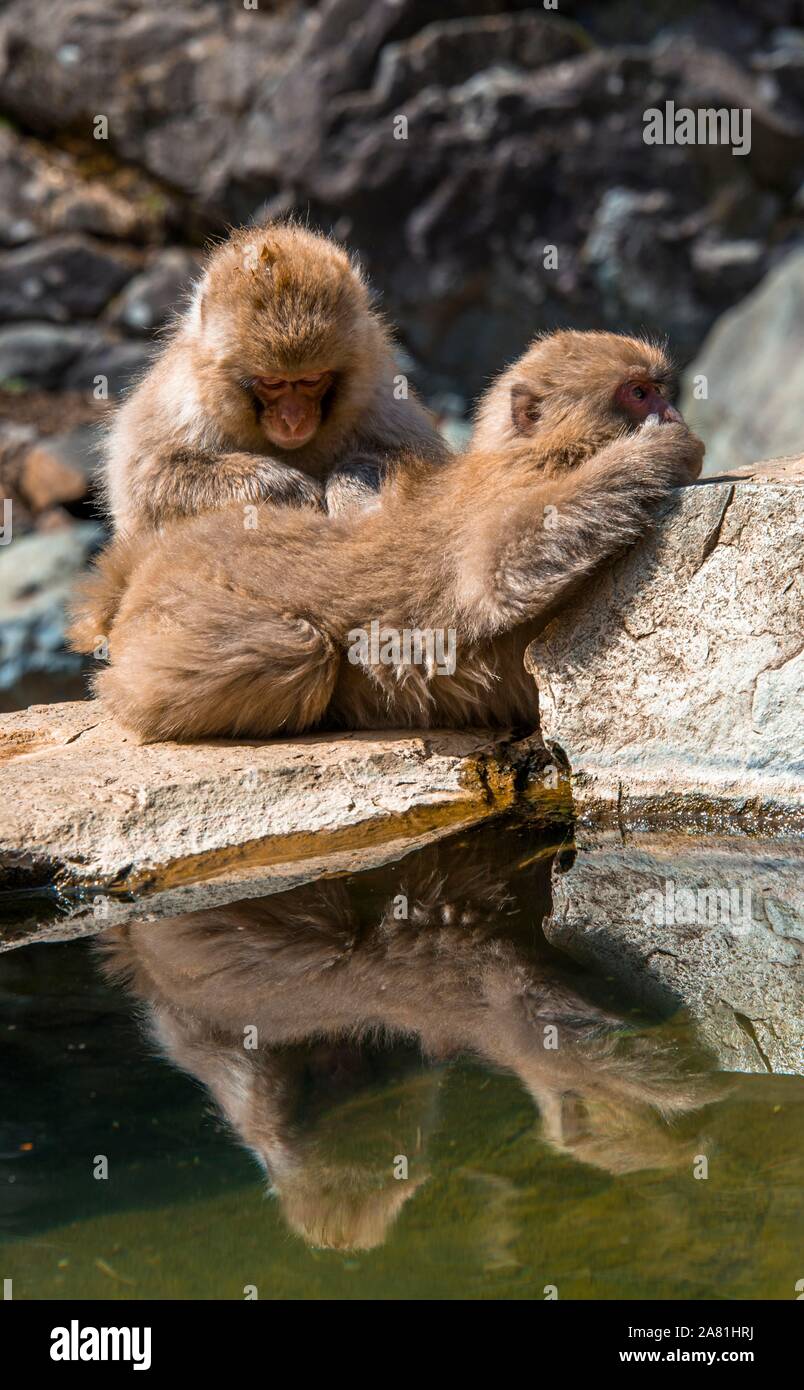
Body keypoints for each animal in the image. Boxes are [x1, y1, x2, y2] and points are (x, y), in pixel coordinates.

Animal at [70, 330, 704, 740]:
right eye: (639, 394)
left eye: (660, 389)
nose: (675, 416)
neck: (544, 454)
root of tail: (145, 566)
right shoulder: (510, 490)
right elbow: (499, 573)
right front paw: (660, 452)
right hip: (182, 611)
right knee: (299, 653)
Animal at [101, 221, 447, 534]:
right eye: (272, 383)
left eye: (311, 380)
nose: (293, 420)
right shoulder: (185, 400)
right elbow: (148, 480)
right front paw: (287, 488)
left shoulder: (378, 396)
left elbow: (424, 467)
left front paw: (349, 488)